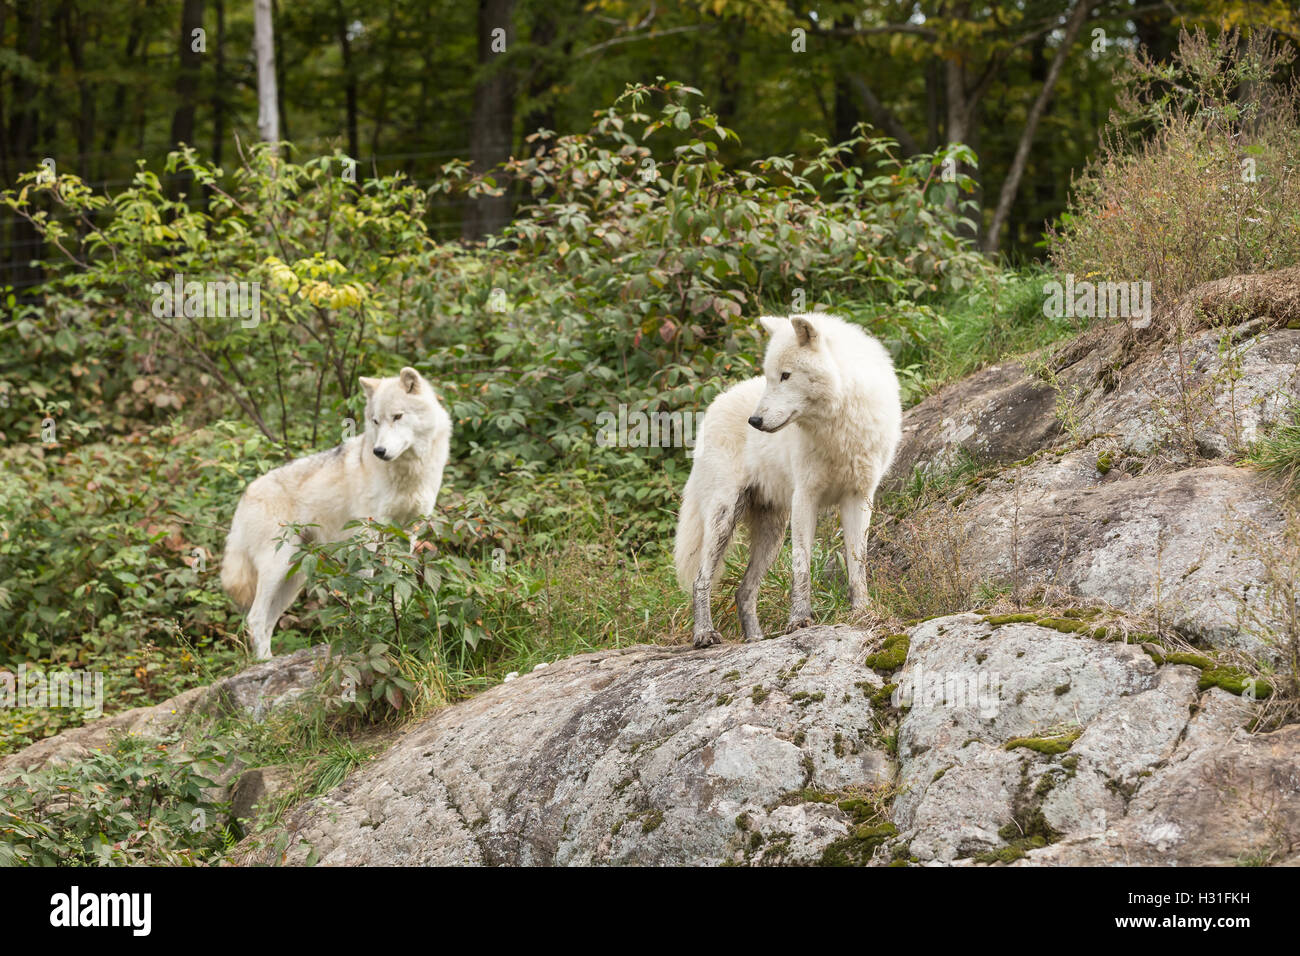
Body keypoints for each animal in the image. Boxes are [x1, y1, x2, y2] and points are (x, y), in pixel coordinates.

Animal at [221, 367, 452, 658]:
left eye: (398, 416)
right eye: (376, 421)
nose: (379, 451)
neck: (408, 473)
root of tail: (246, 494)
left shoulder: (408, 532)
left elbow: (399, 584)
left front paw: (399, 620)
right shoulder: (367, 537)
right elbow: (366, 591)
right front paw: (369, 631)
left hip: (293, 579)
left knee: (267, 623)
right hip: (277, 567)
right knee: (255, 618)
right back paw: (264, 664)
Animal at [674, 313, 902, 647]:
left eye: (785, 375)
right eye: (769, 377)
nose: (754, 421)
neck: (837, 427)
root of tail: (713, 406)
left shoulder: (859, 498)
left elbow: (857, 564)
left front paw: (863, 612)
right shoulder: (805, 497)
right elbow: (801, 566)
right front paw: (799, 621)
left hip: (772, 533)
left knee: (743, 591)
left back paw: (755, 640)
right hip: (724, 517)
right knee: (700, 580)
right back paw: (704, 634)